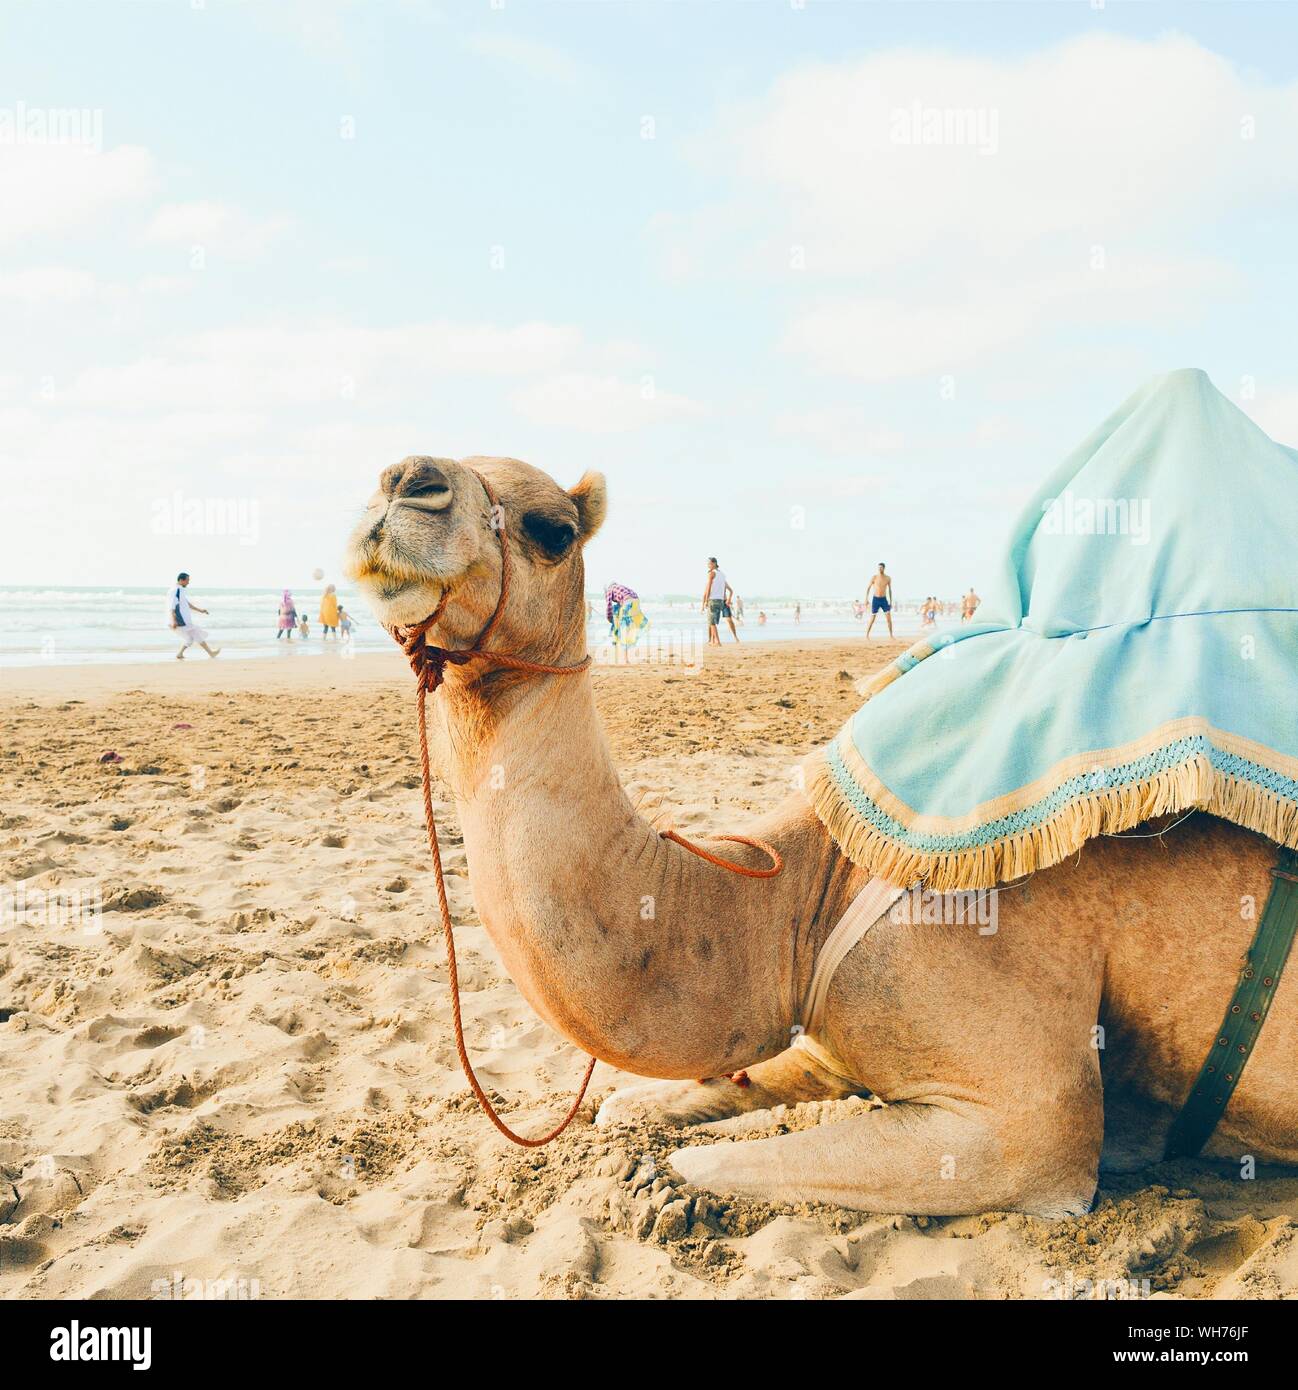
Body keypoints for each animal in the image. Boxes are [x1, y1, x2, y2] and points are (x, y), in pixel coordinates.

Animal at [345, 454, 1298, 1218]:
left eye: (552, 529)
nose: (403, 482)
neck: (808, 895)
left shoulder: (1027, 1112)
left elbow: (704, 1161)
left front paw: (658, 1179)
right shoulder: (835, 1037)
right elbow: (684, 1096)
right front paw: (632, 1116)